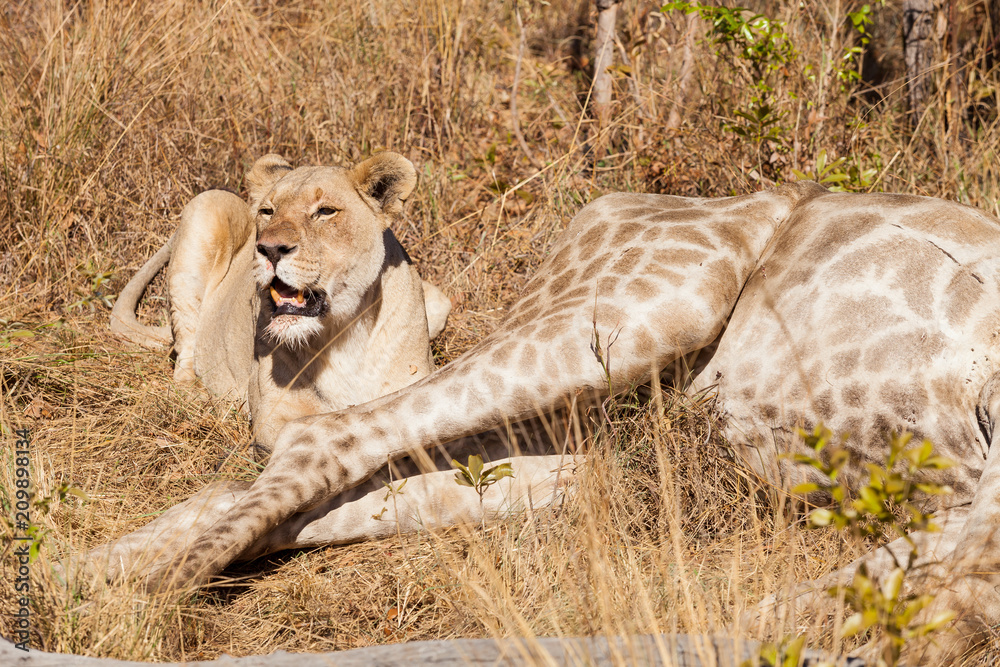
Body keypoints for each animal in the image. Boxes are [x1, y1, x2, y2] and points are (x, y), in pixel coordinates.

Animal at [115, 180, 1000, 659]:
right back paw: (148, 590)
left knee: (336, 479)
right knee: (328, 435)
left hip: (600, 443)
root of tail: (601, 209)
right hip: (640, 308)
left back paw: (104, 568)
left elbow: (916, 590)